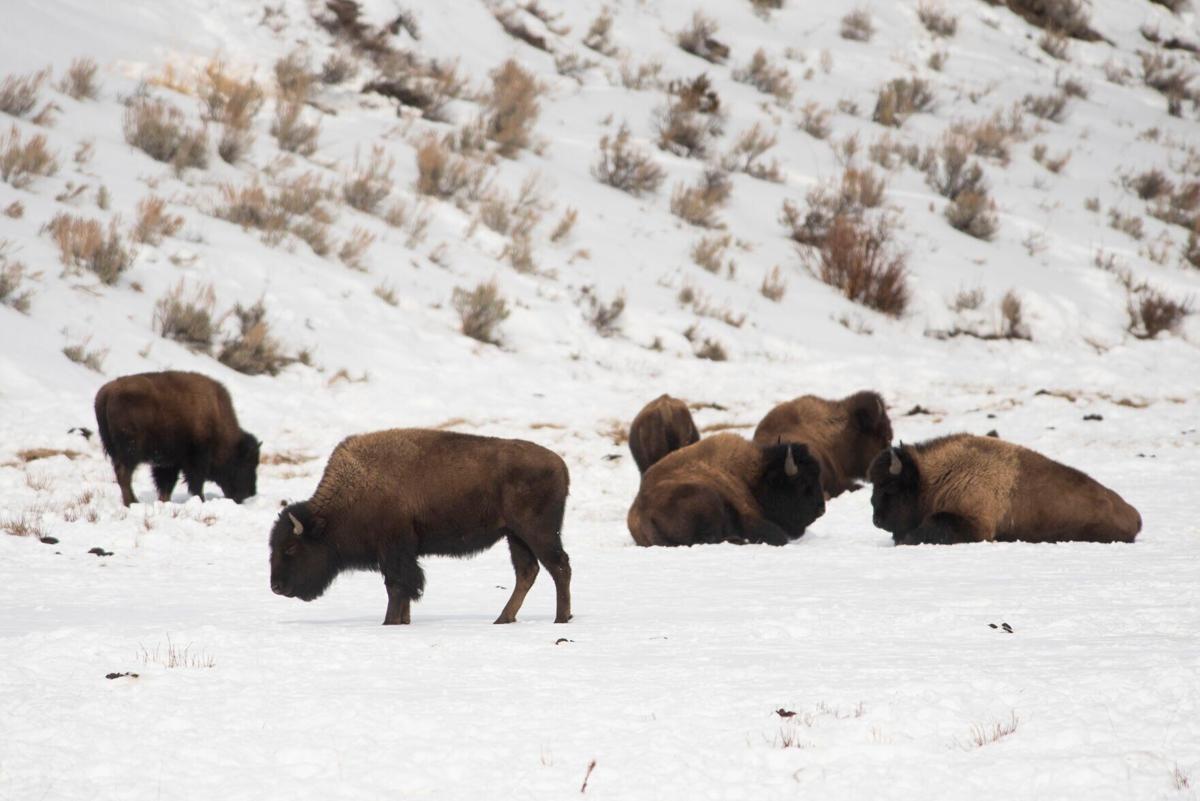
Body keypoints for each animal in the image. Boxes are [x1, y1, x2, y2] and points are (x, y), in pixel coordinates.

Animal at [94, 371, 259, 506]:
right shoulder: (195, 460)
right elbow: (196, 483)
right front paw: (201, 500)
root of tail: (107, 393)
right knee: (124, 474)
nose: (250, 493)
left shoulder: (168, 464)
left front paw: (164, 502)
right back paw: (131, 502)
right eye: (246, 464)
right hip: (130, 452)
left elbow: (166, 484)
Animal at [269, 429, 572, 625]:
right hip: (515, 536)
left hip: (537, 532)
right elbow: (402, 589)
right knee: (527, 572)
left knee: (558, 566)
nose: (276, 587)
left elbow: (397, 586)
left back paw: (560, 618)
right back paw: (503, 618)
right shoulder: (399, 553)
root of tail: (560, 464)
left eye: (291, 548)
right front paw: (401, 621)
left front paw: (390, 622)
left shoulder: (394, 551)